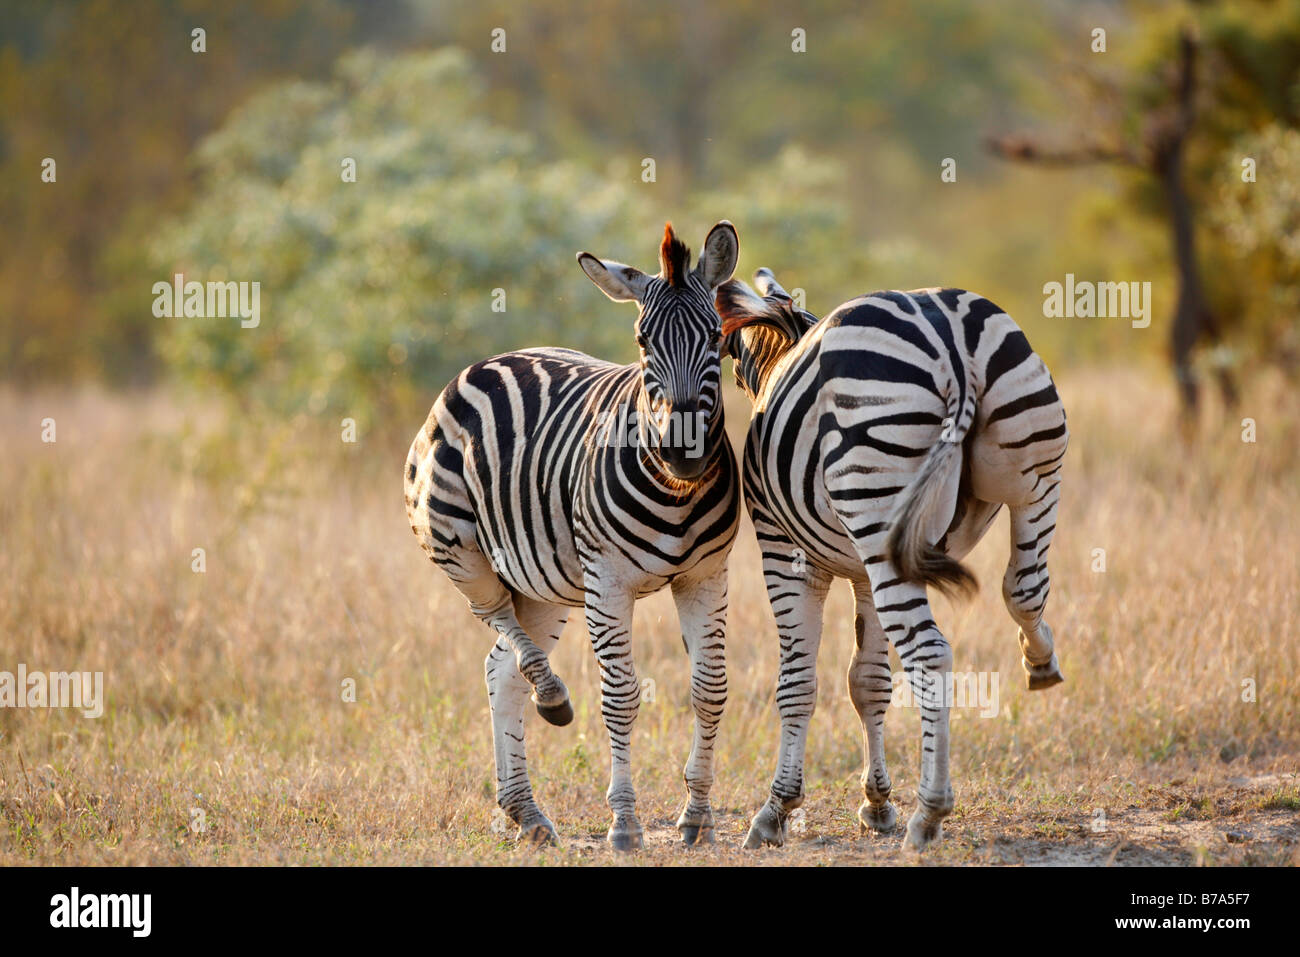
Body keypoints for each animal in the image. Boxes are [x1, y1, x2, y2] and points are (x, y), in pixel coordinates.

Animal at [405, 222, 742, 850]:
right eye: (641, 341)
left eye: (715, 335)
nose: (682, 452)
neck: (677, 494)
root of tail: (487, 362)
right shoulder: (607, 581)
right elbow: (622, 697)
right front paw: (625, 823)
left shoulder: (707, 576)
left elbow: (710, 690)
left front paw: (697, 818)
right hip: (460, 550)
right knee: (499, 625)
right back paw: (553, 698)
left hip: (544, 583)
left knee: (500, 671)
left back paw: (527, 814)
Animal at [715, 268, 1068, 851]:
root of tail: (951, 342)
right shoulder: (865, 572)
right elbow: (869, 681)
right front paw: (876, 803)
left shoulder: (785, 551)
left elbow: (797, 682)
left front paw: (775, 811)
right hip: (1031, 473)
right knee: (1025, 587)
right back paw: (1040, 662)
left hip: (878, 492)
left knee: (931, 652)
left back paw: (930, 813)